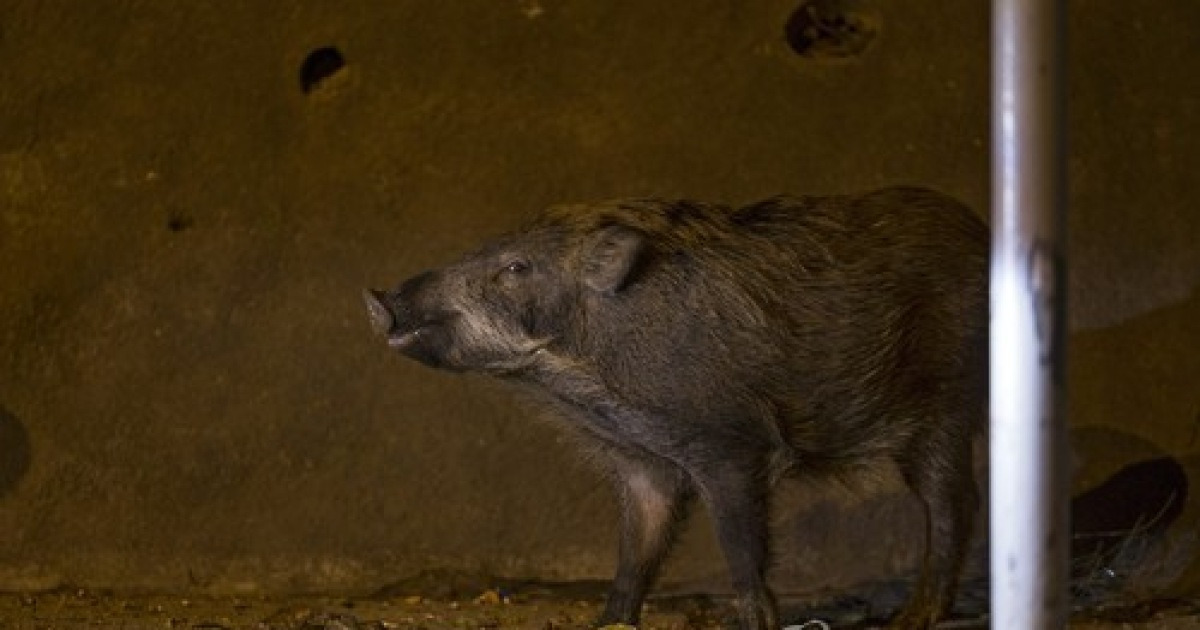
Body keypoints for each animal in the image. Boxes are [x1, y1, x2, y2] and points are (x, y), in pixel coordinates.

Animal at [364, 186, 989, 629]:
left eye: (516, 268)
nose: (377, 298)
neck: (587, 388)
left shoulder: (731, 446)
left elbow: (741, 547)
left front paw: (757, 622)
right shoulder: (643, 463)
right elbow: (636, 550)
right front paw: (608, 623)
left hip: (947, 406)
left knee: (954, 502)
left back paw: (911, 619)